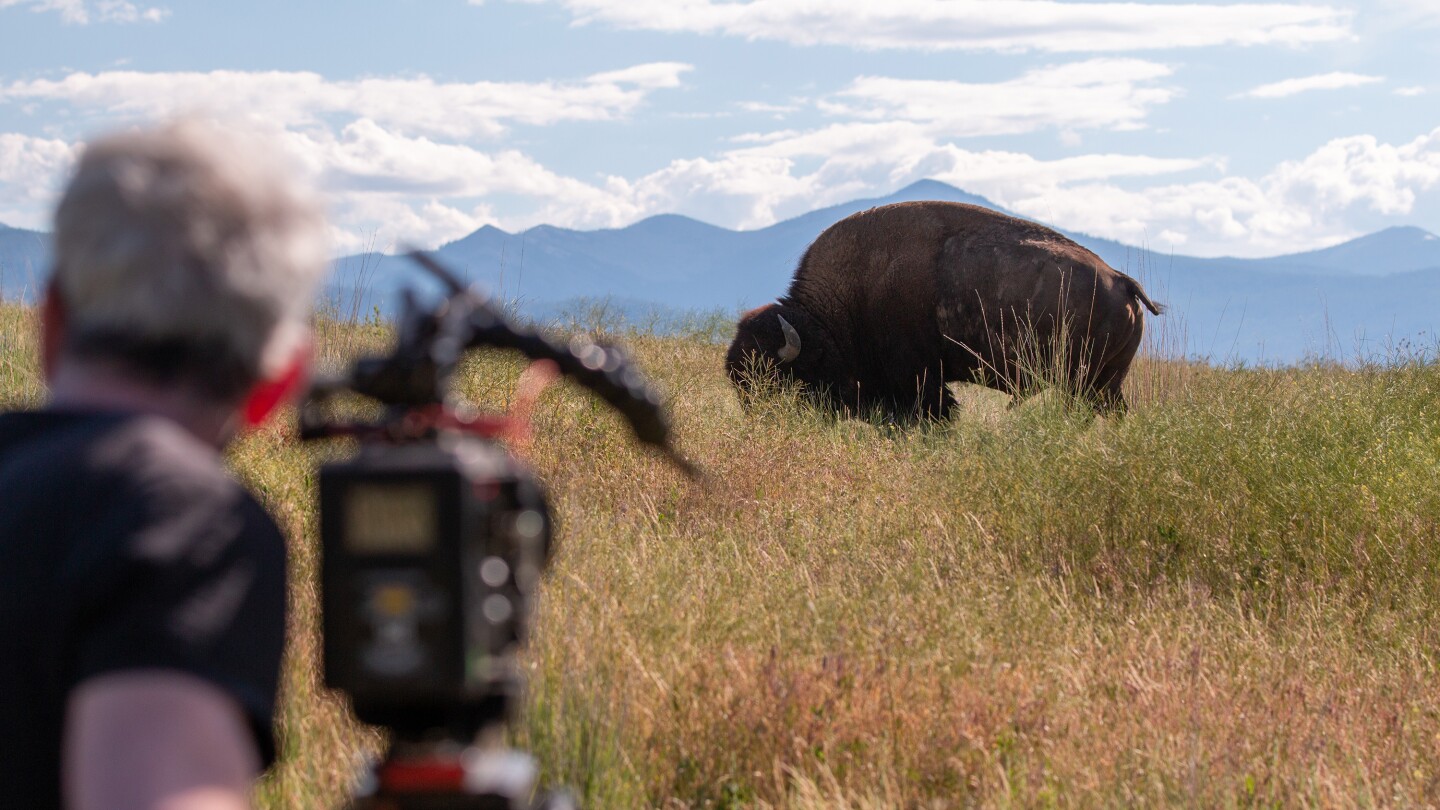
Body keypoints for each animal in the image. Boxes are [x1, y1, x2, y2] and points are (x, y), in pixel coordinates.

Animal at [726, 201, 1163, 418]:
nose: (759, 420)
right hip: (1104, 384)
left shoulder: (921, 381)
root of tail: (1122, 281)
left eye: (775, 378)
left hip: (1087, 383)